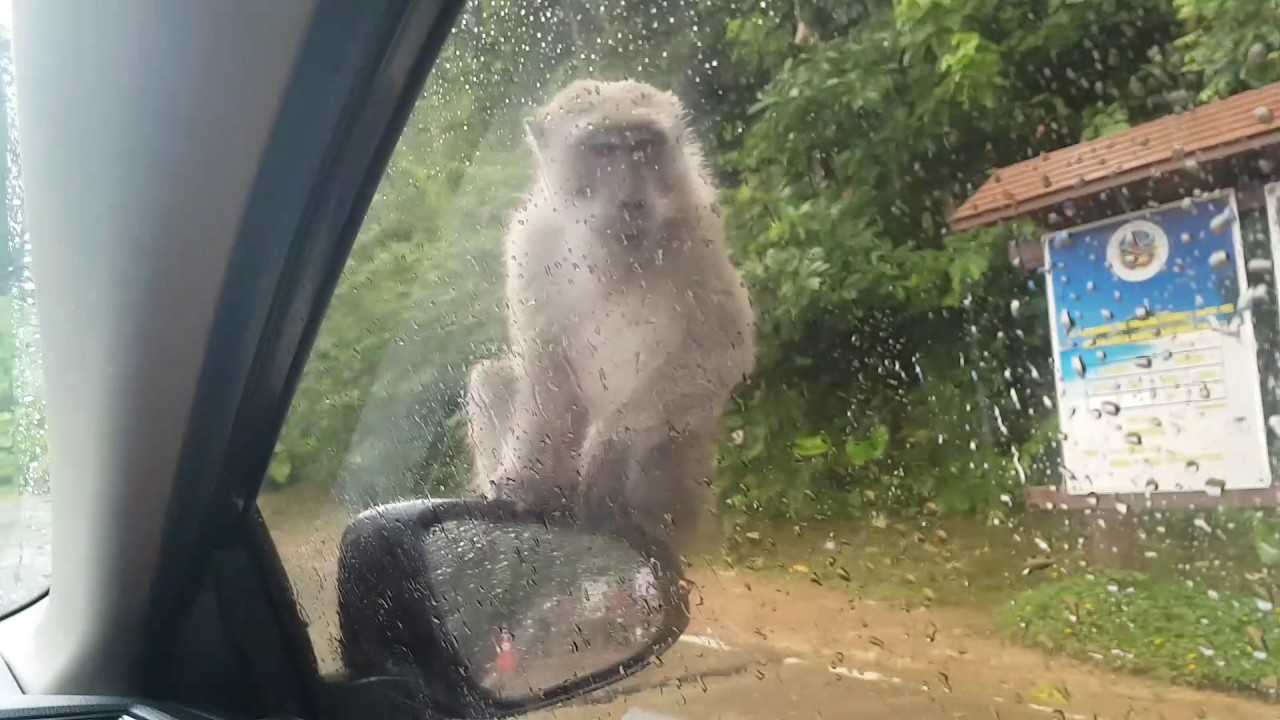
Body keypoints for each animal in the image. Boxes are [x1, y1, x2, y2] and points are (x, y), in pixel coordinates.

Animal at [466, 78, 756, 552]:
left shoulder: (698, 231)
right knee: (491, 377)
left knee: (672, 432)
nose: (632, 199)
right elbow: (544, 367)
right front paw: (526, 484)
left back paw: (637, 523)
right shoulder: (531, 243)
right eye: (602, 150)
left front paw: (611, 446)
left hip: (686, 494)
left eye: (644, 146)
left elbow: (720, 348)